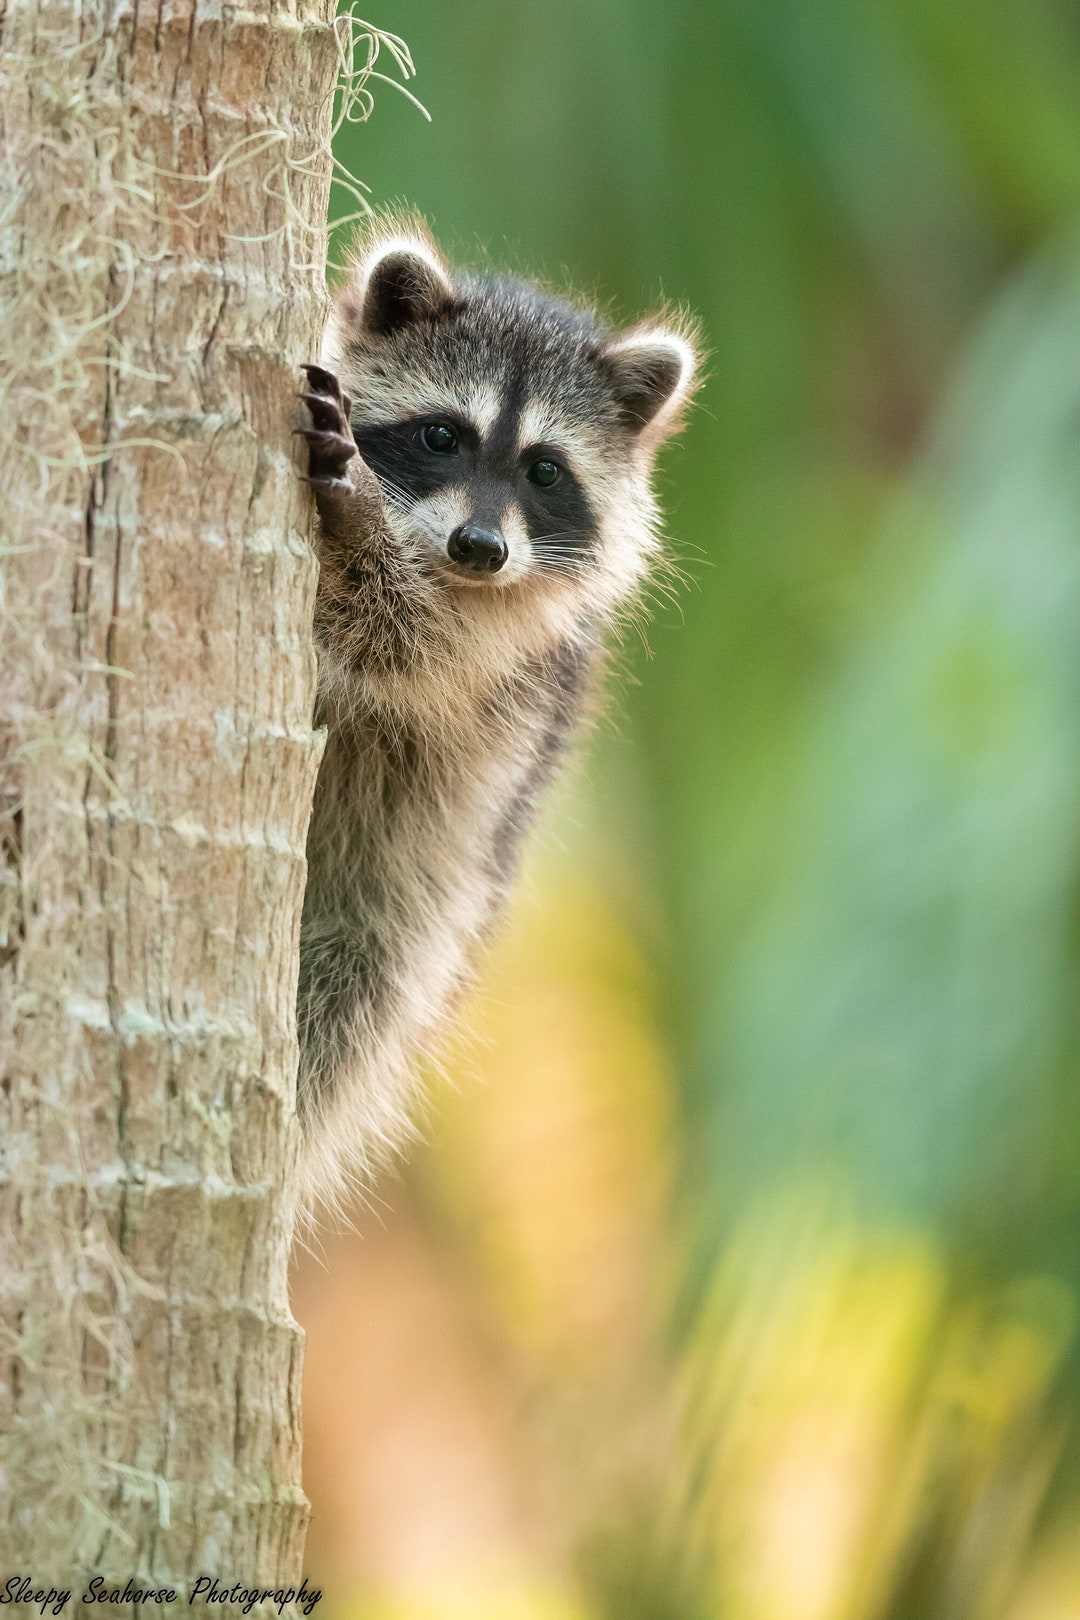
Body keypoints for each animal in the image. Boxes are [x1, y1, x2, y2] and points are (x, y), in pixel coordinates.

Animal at [296, 215, 696, 1210]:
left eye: (545, 470)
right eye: (443, 434)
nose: (480, 547)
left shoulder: (509, 661)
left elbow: (403, 640)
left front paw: (358, 533)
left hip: (405, 912)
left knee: (344, 1000)